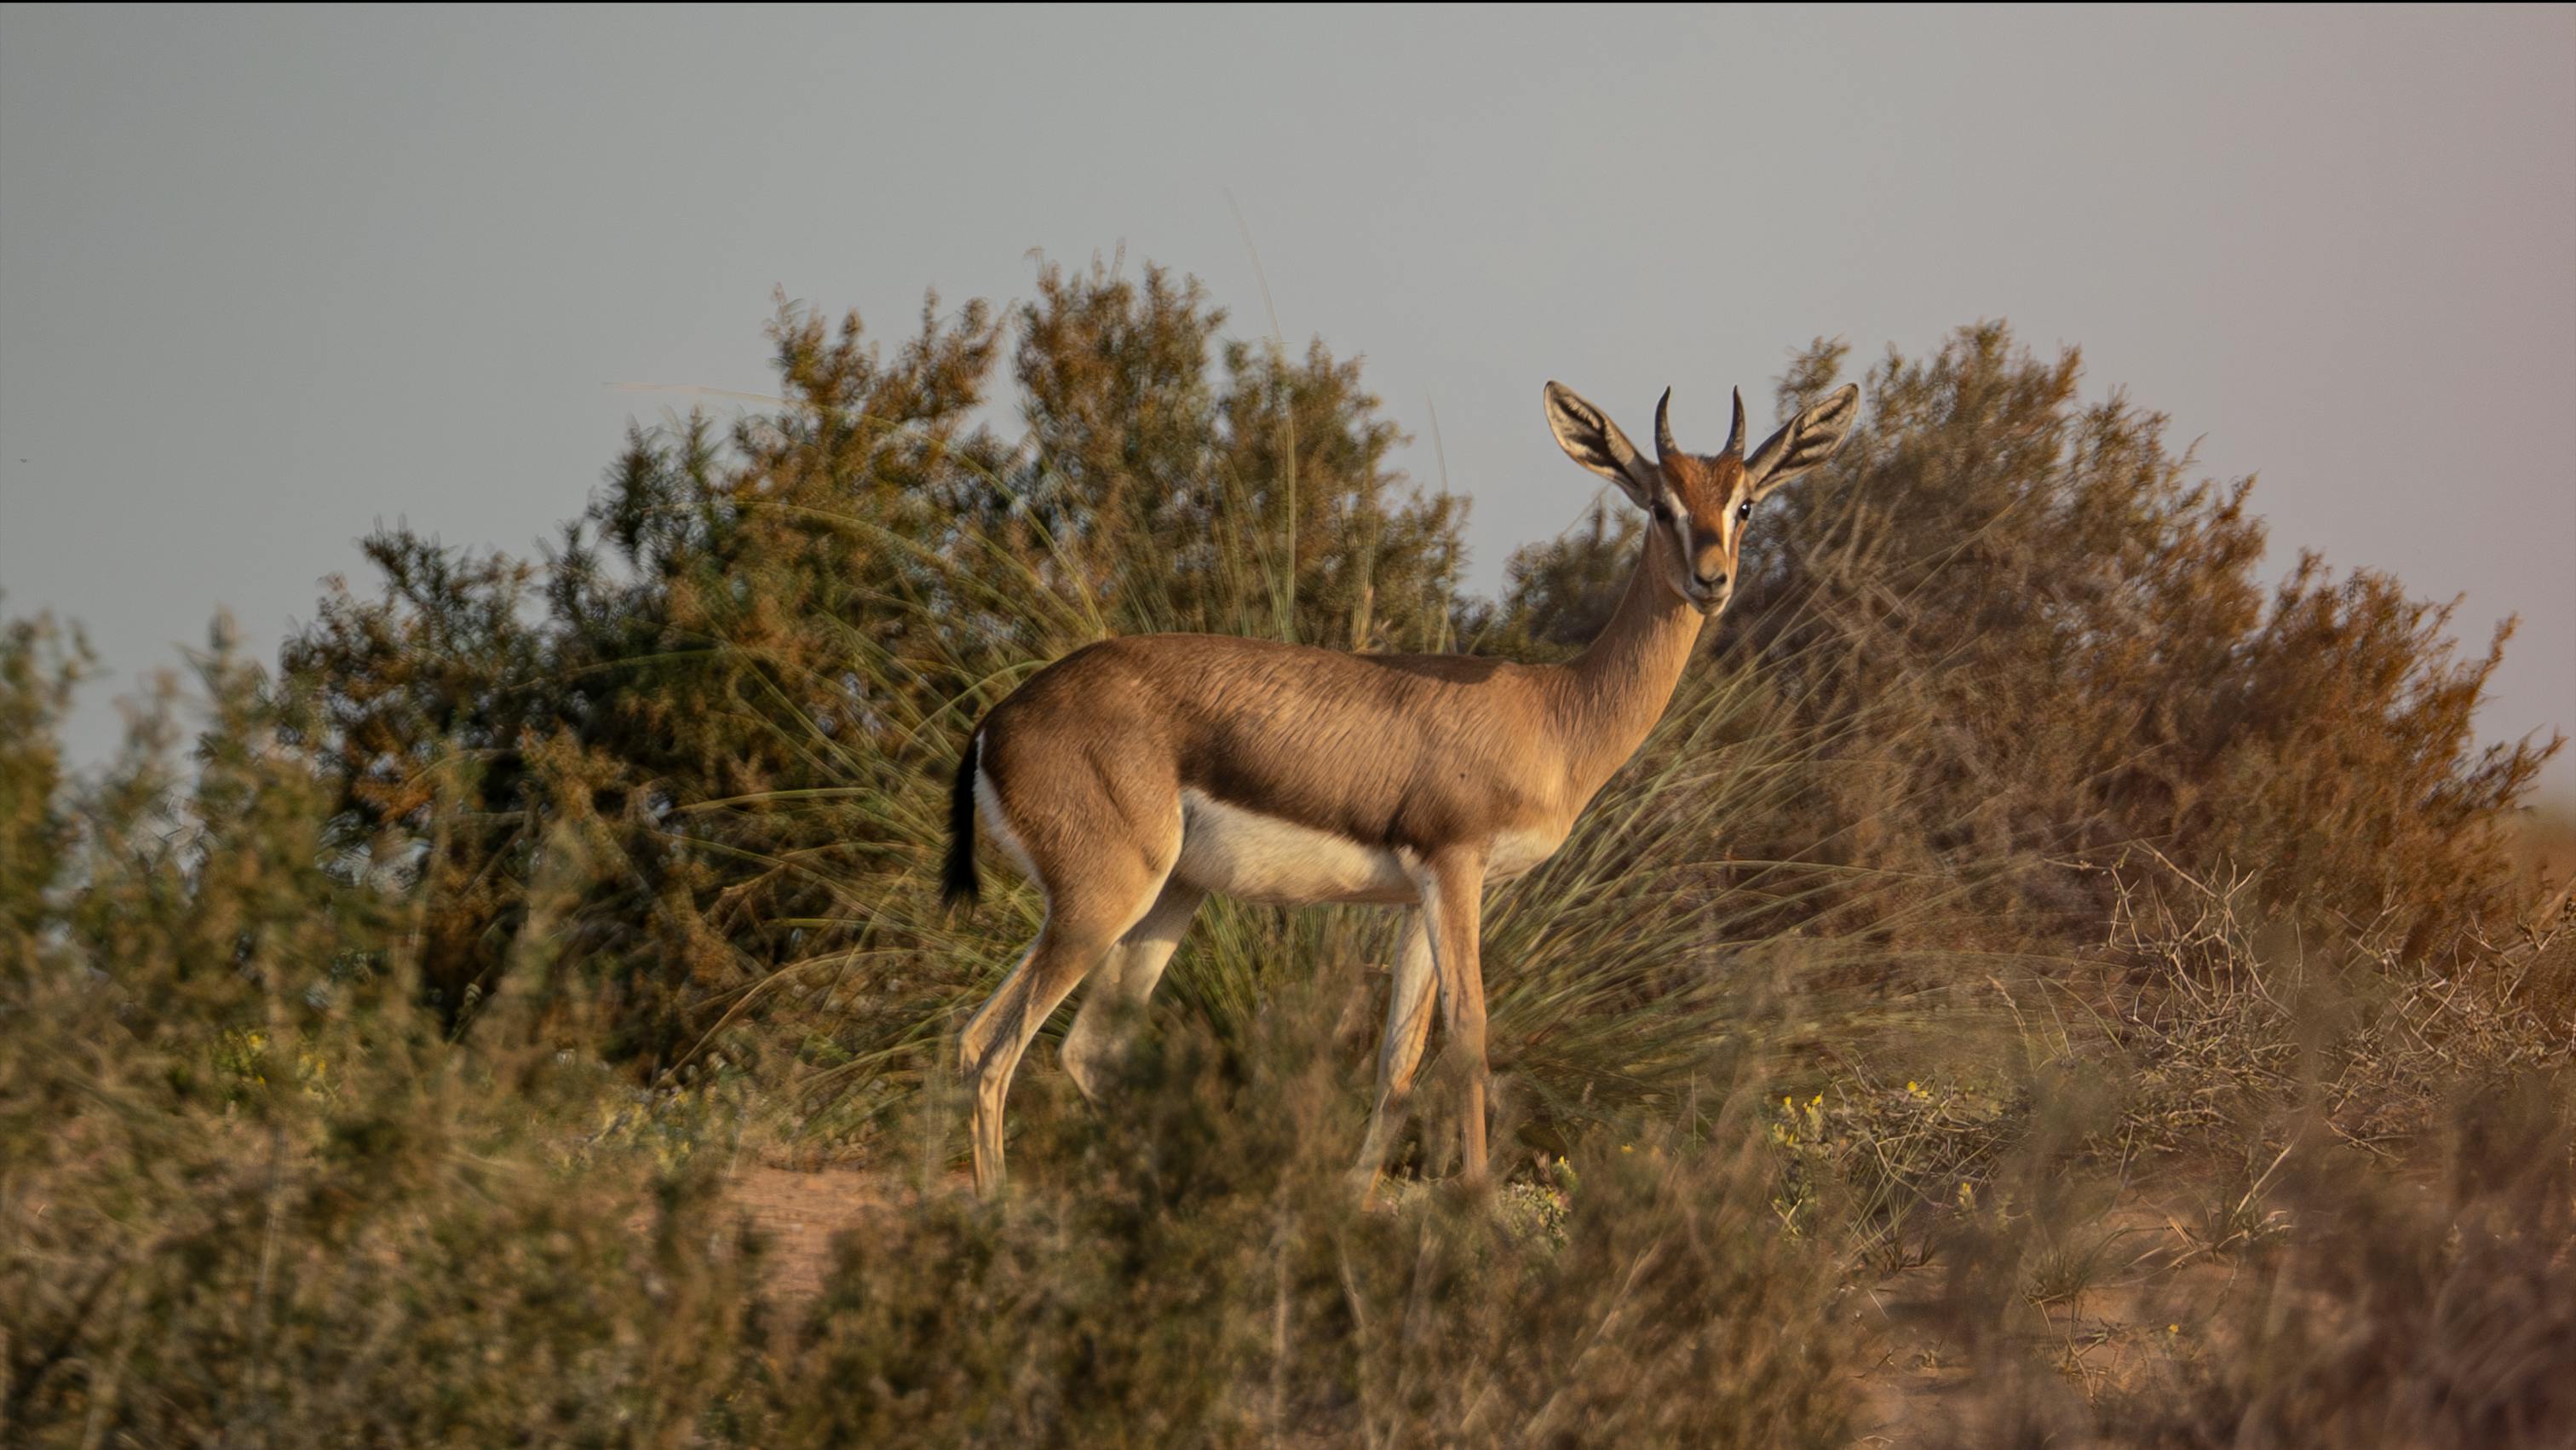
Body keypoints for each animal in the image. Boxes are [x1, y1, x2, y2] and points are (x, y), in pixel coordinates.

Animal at [942, 378, 1862, 1196]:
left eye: (1744, 504)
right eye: (1660, 504)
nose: (1712, 579)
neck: (1552, 712)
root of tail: (997, 721)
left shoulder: (1416, 899)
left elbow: (1399, 1057)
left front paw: (1355, 1198)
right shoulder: (1455, 869)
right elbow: (1471, 1033)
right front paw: (1478, 1203)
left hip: (1165, 899)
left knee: (1062, 1050)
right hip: (1101, 903)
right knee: (993, 1050)